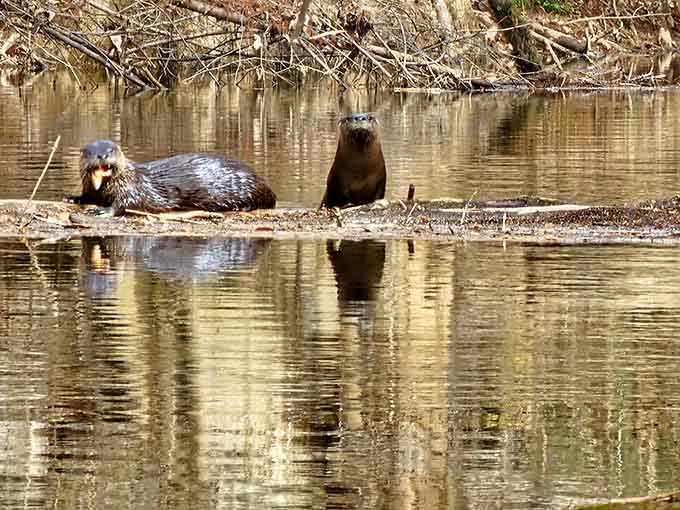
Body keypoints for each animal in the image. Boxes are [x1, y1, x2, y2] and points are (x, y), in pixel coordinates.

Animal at [65, 140, 276, 216]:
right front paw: (73, 197)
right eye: (90, 152)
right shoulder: (90, 189)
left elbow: (126, 203)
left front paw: (103, 210)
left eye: (111, 150)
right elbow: (87, 196)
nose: (102, 155)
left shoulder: (132, 188)